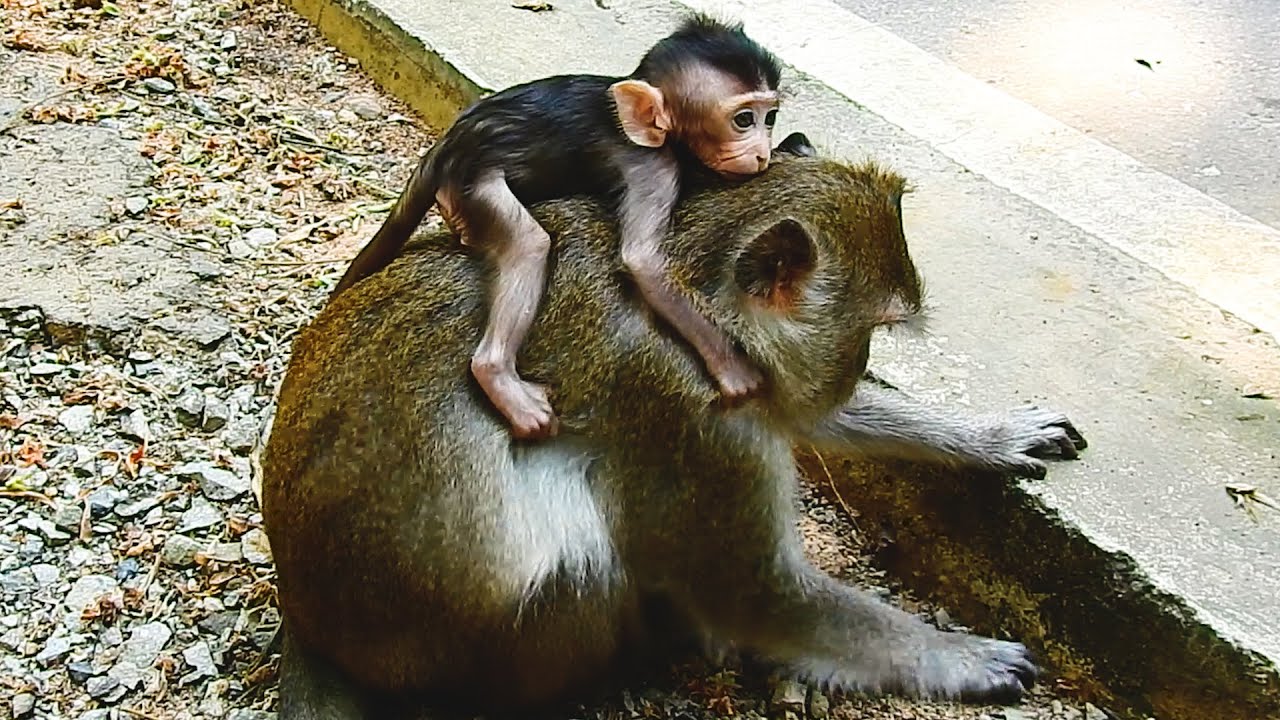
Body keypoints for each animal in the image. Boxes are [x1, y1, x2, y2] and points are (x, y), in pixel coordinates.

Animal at [261, 138, 1088, 719]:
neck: (697, 293)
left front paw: (991, 437)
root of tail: (307, 619)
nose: (856, 369)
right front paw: (963, 657)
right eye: (874, 329)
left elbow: (805, 415)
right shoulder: (691, 423)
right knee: (581, 568)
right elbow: (759, 595)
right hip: (460, 656)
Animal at [327, 13, 784, 441]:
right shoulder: (653, 166)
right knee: (528, 243)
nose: (762, 152)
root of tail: (450, 144)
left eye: (770, 117)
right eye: (744, 120)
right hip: (476, 182)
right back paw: (497, 375)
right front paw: (734, 368)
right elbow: (644, 262)